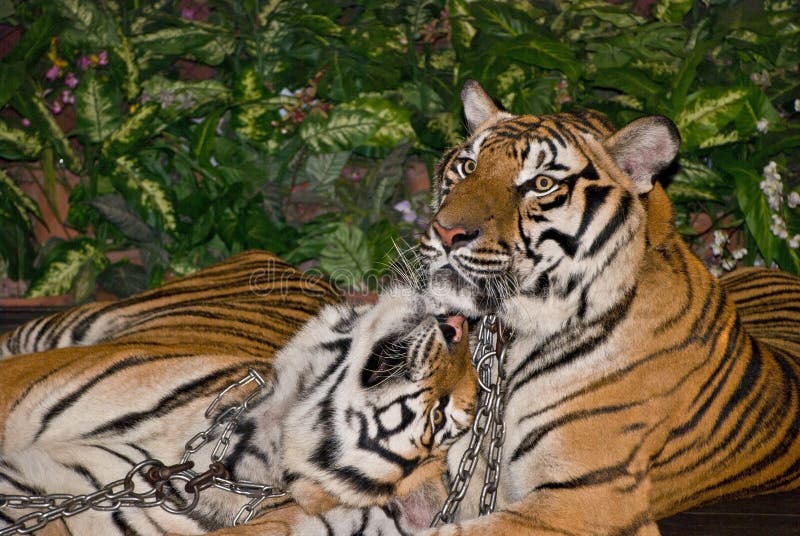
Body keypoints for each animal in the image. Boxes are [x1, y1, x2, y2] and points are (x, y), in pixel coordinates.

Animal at [218, 80, 800, 536]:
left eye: (540, 184)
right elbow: (303, 512)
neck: (509, 337)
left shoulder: (585, 499)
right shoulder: (445, 474)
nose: (446, 232)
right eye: (468, 165)